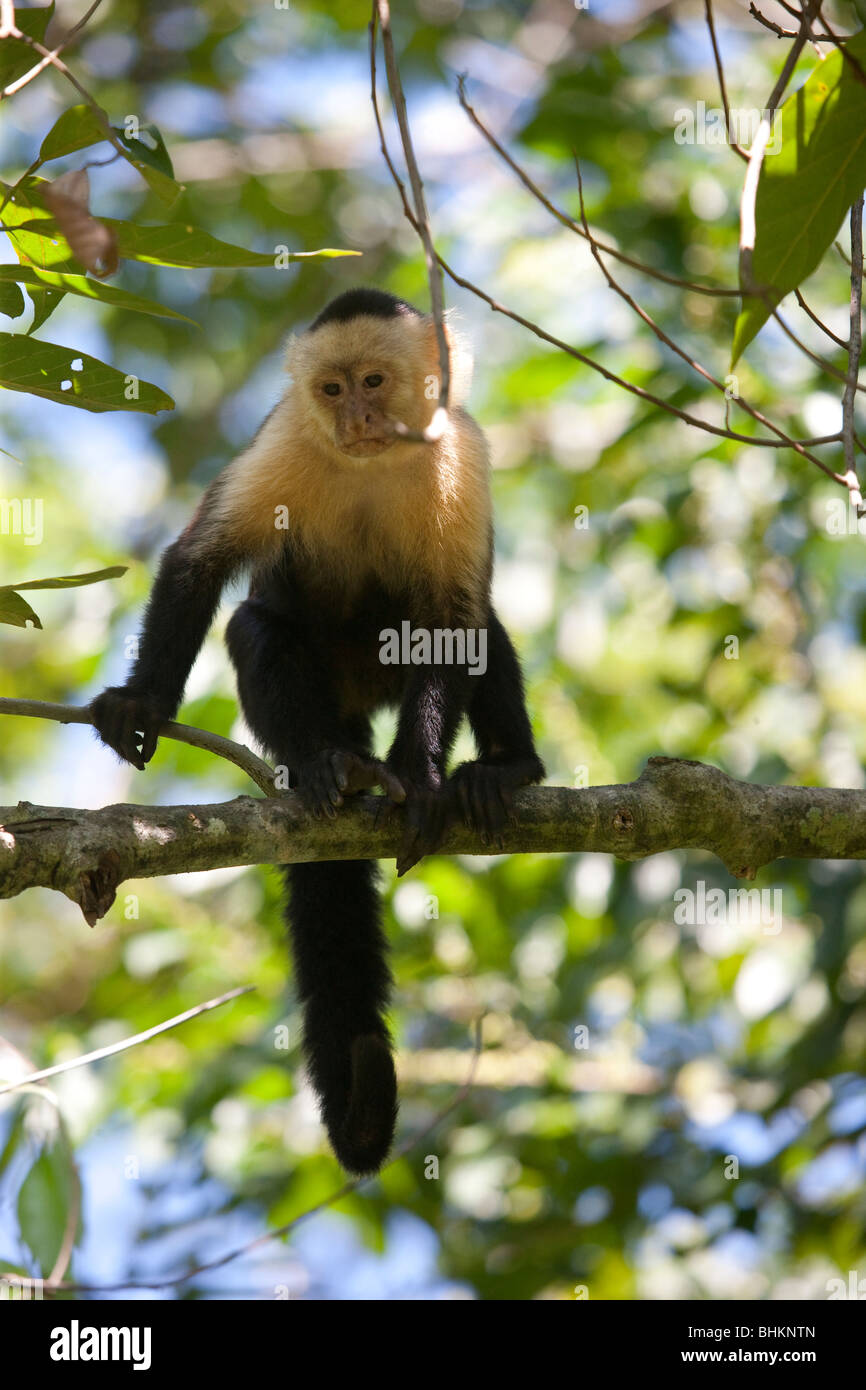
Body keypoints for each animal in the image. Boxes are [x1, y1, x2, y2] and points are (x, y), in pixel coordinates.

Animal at [89, 287, 545, 1175]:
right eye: (331, 390)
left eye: (373, 380)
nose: (357, 415)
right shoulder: (285, 440)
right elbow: (200, 561)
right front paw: (144, 701)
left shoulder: (461, 455)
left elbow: (455, 624)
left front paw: (426, 779)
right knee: (257, 627)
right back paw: (323, 767)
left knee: (485, 628)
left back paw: (505, 769)